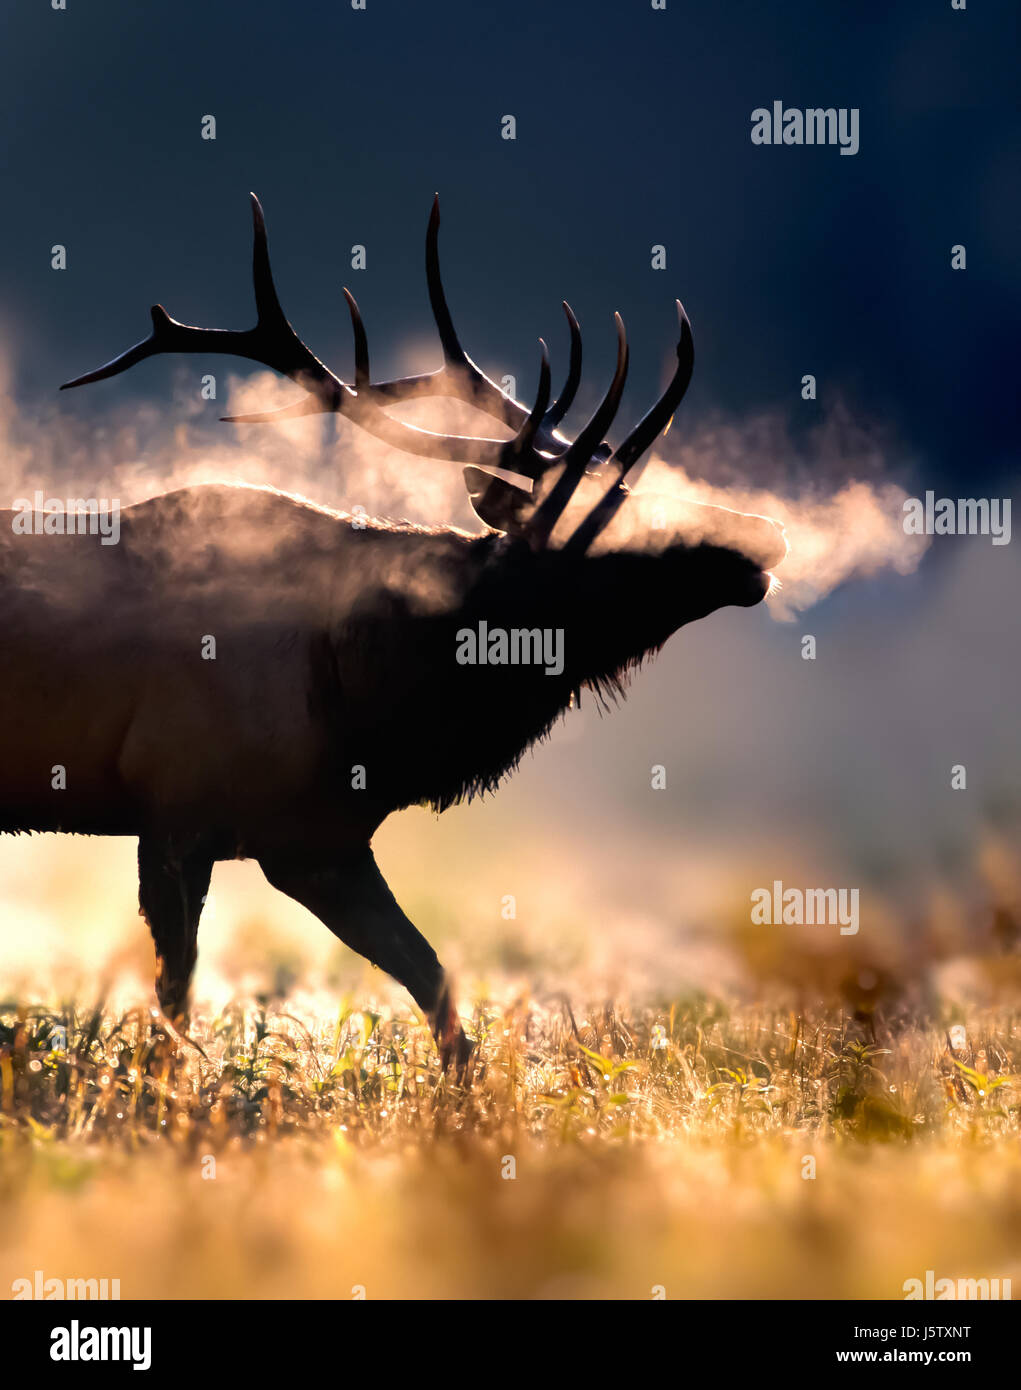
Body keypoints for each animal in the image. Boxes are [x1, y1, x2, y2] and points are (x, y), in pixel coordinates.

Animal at [1, 194, 787, 1074]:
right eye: (613, 525)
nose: (766, 534)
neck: (369, 698)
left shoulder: (319, 835)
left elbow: (433, 976)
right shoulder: (177, 810)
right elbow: (177, 994)